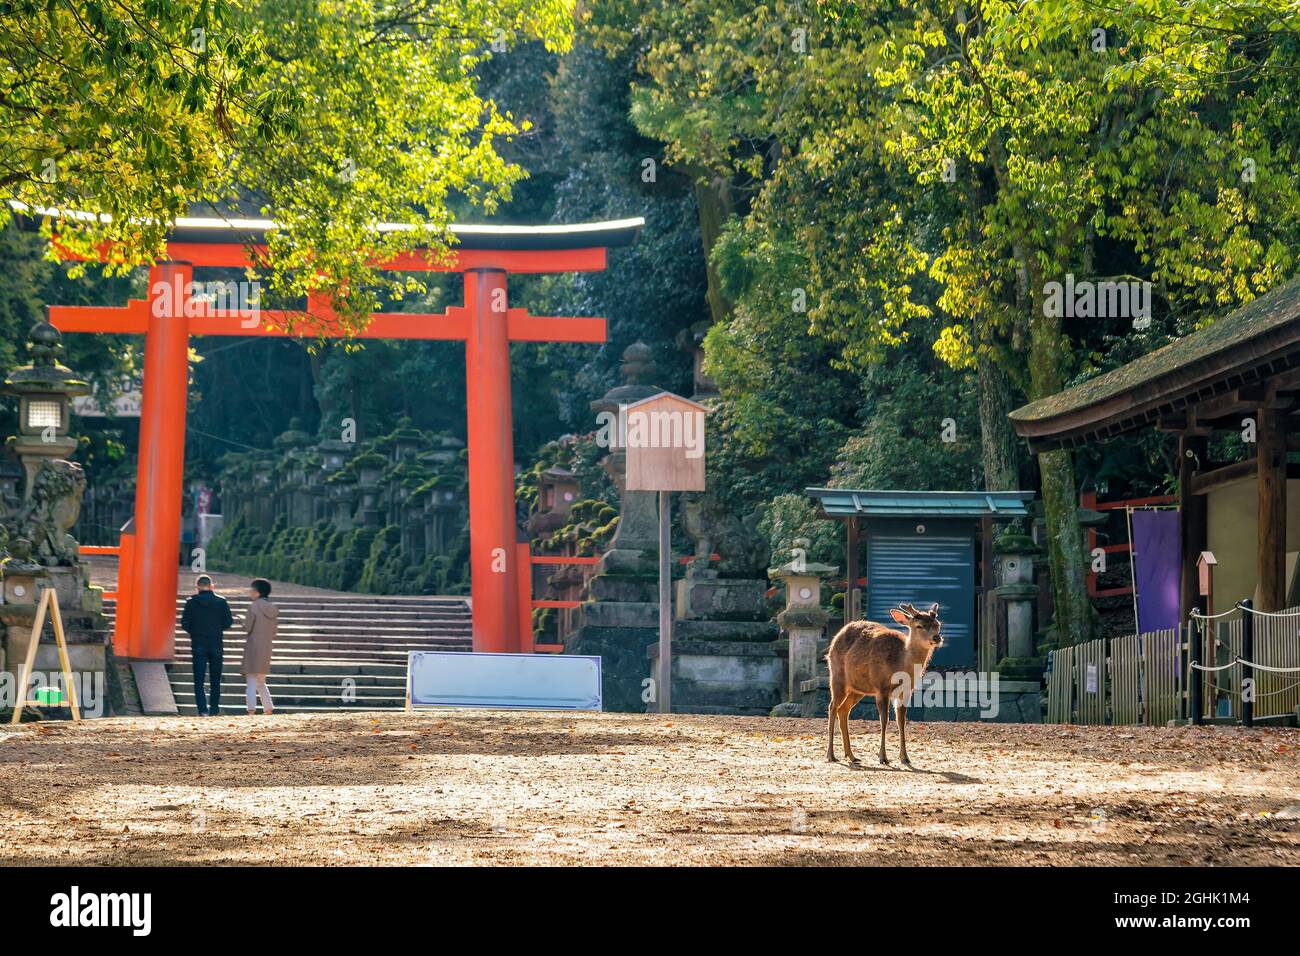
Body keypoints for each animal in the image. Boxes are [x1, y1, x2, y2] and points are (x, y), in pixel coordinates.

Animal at [825, 602, 944, 767]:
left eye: (937, 624)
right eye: (919, 626)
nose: (937, 637)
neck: (900, 664)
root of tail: (836, 637)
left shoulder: (907, 691)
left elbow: (901, 721)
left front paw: (905, 757)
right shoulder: (882, 688)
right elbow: (884, 720)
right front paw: (883, 757)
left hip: (858, 689)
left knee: (843, 710)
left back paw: (852, 756)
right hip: (837, 677)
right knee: (832, 707)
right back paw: (831, 755)